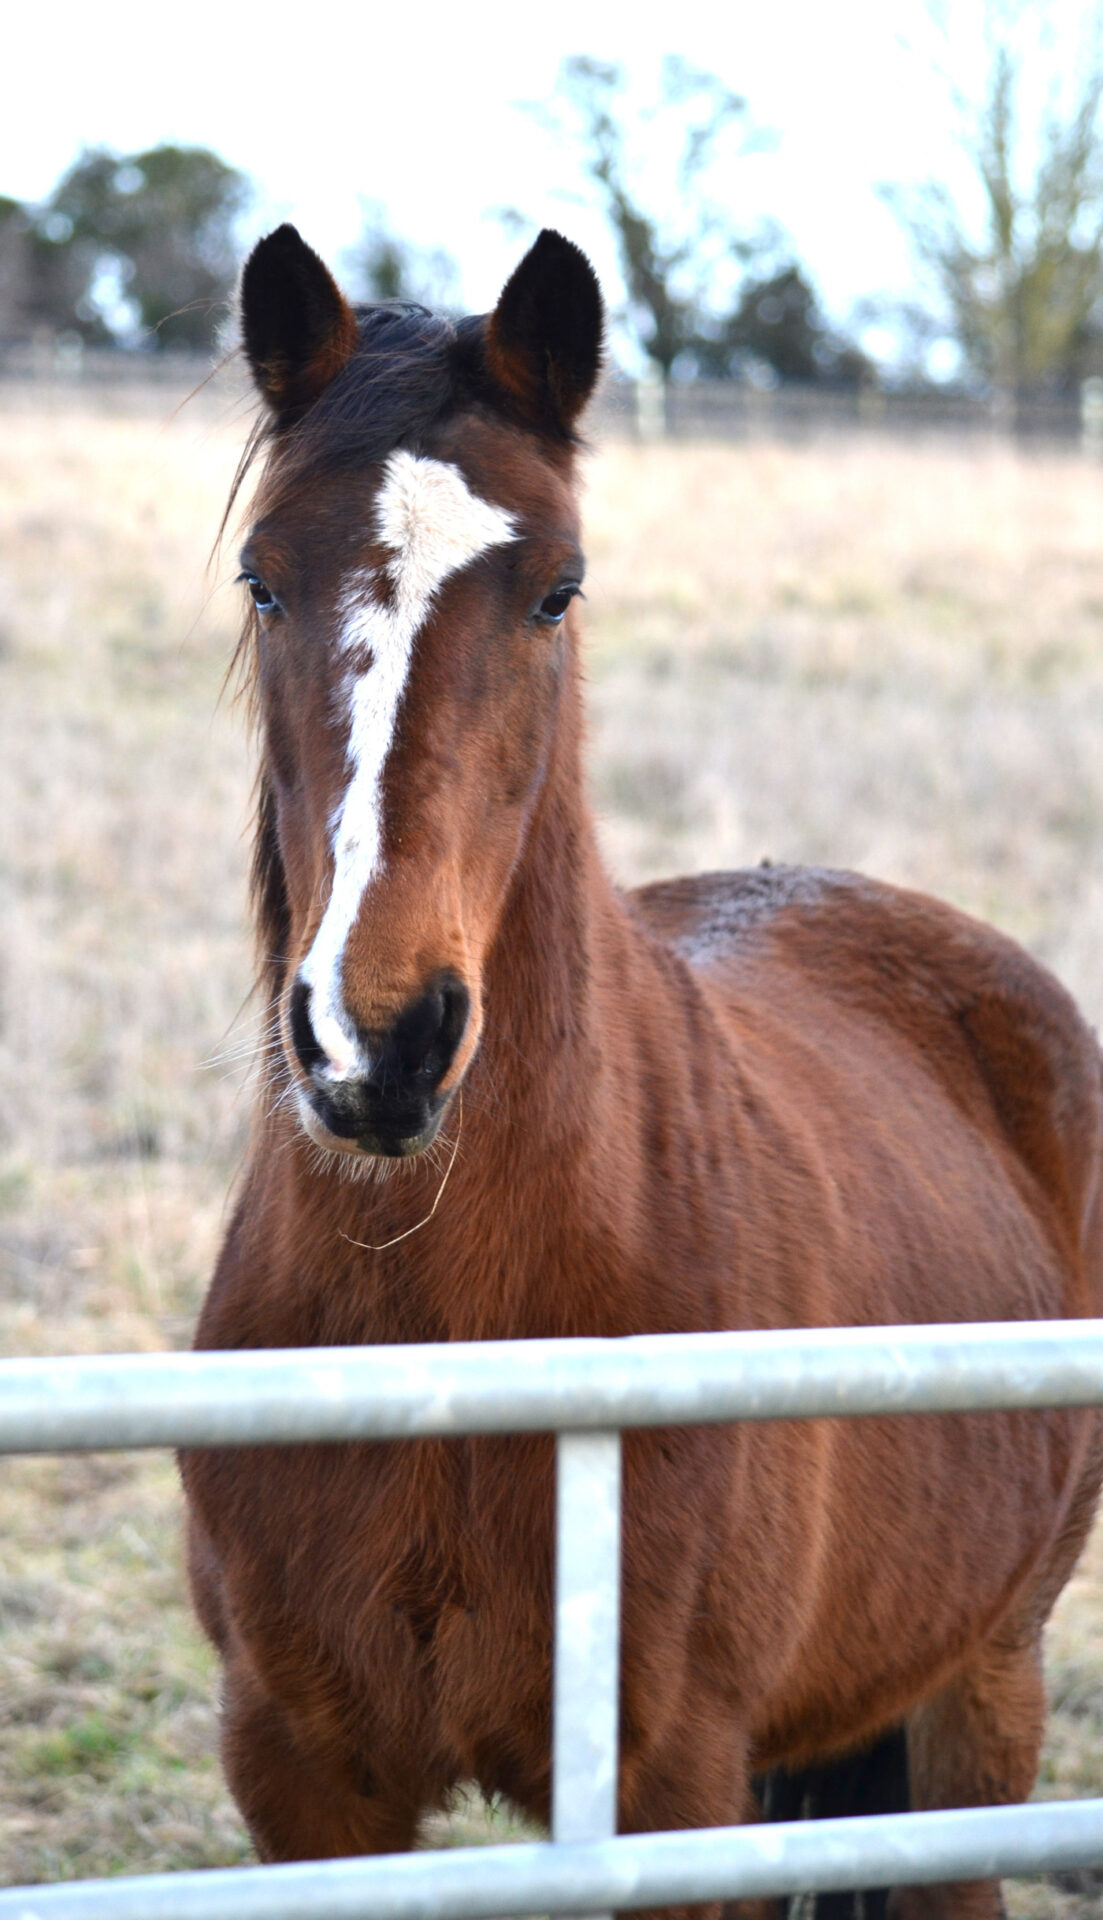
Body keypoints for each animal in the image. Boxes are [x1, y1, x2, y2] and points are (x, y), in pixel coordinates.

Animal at [181, 223, 1103, 1920]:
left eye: (556, 590)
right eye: (262, 577)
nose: (376, 1040)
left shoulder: (672, 1793)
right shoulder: (300, 1782)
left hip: (978, 1699)